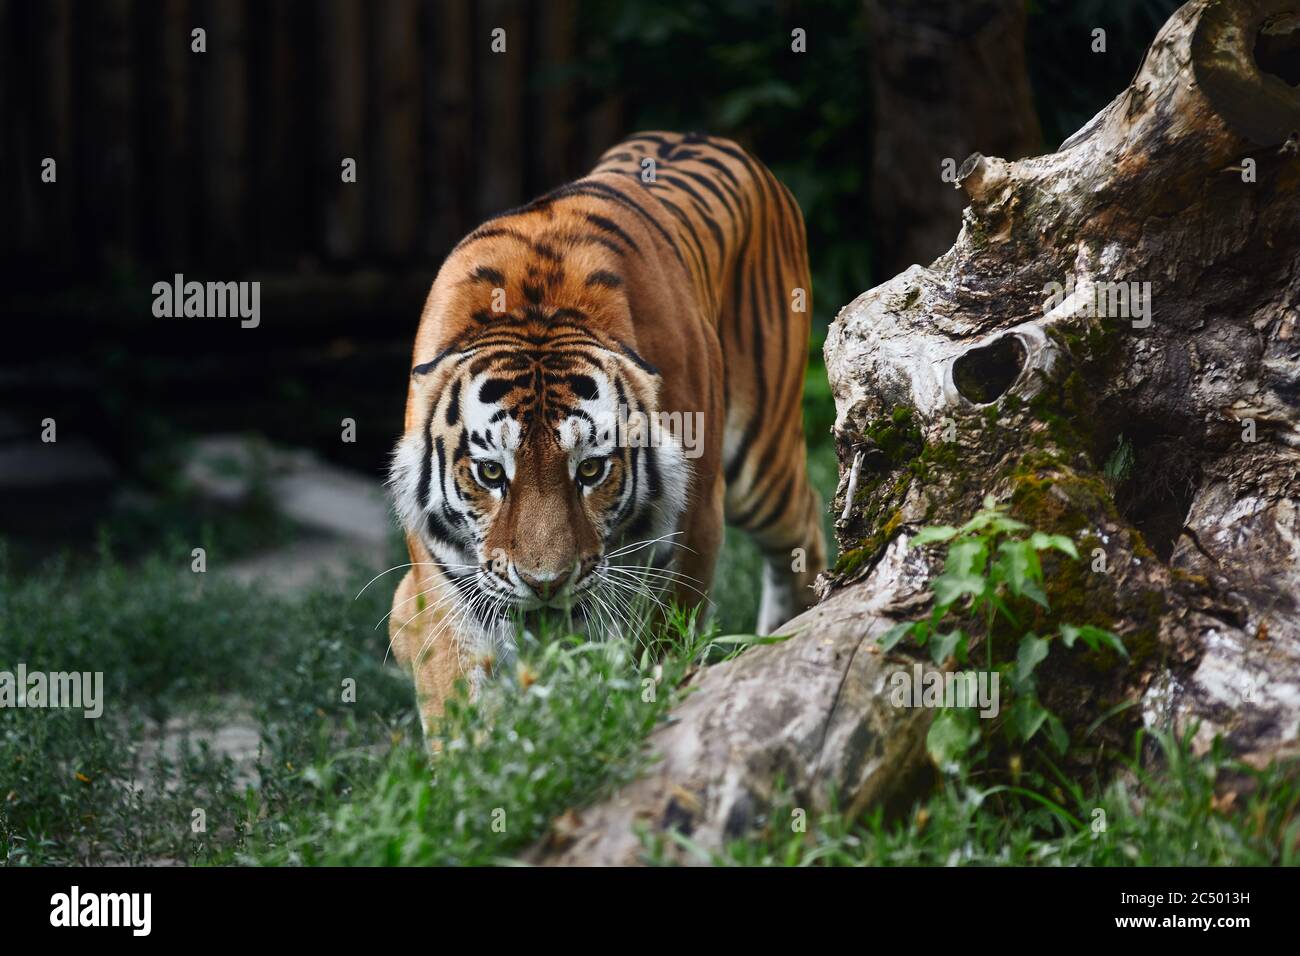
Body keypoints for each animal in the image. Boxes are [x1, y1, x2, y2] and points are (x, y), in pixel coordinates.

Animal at [387, 131, 827, 738]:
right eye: (491, 473)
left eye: (591, 469)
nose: (545, 584)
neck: (536, 308)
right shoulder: (444, 574)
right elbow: (457, 691)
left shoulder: (693, 525)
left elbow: (659, 639)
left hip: (760, 464)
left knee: (804, 523)